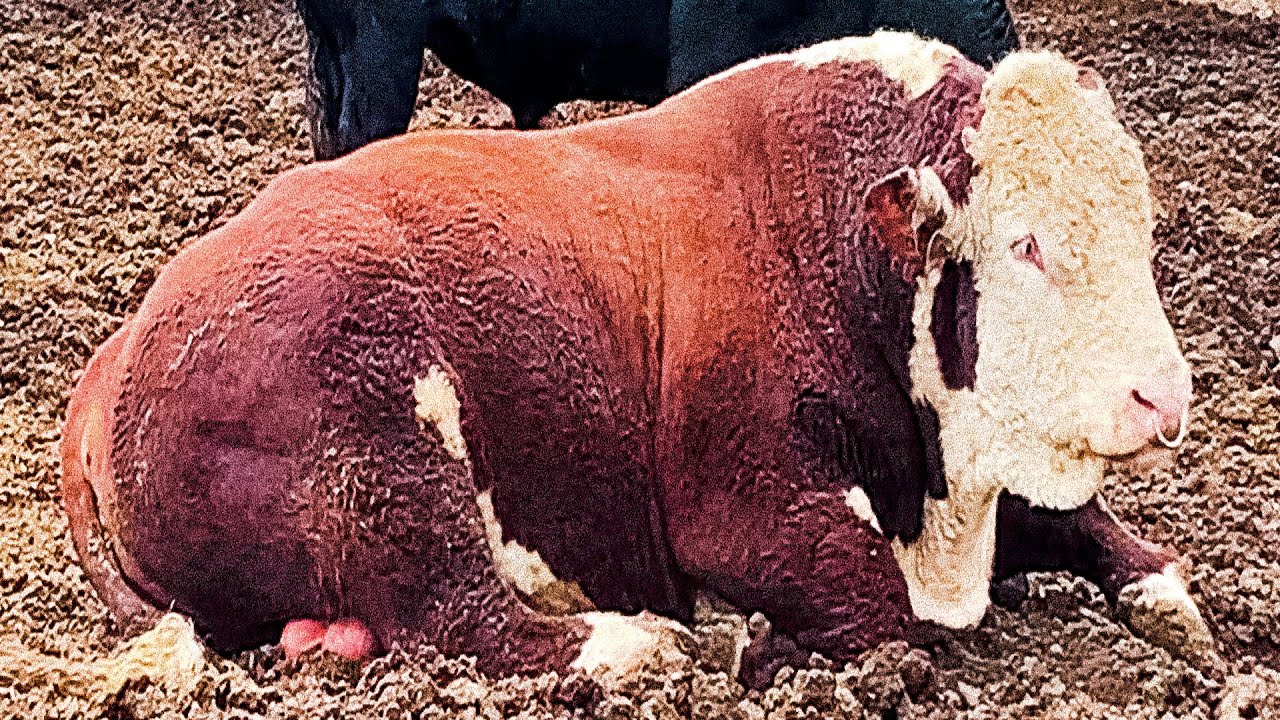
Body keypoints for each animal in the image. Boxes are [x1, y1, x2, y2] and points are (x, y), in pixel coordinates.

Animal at [61, 32, 1211, 691]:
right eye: (1024, 243)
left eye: (1144, 224)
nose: (1162, 398)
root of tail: (127, 341)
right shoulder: (744, 501)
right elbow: (886, 618)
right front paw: (755, 641)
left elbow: (1099, 532)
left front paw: (1169, 599)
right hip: (382, 426)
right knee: (457, 614)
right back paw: (639, 644)